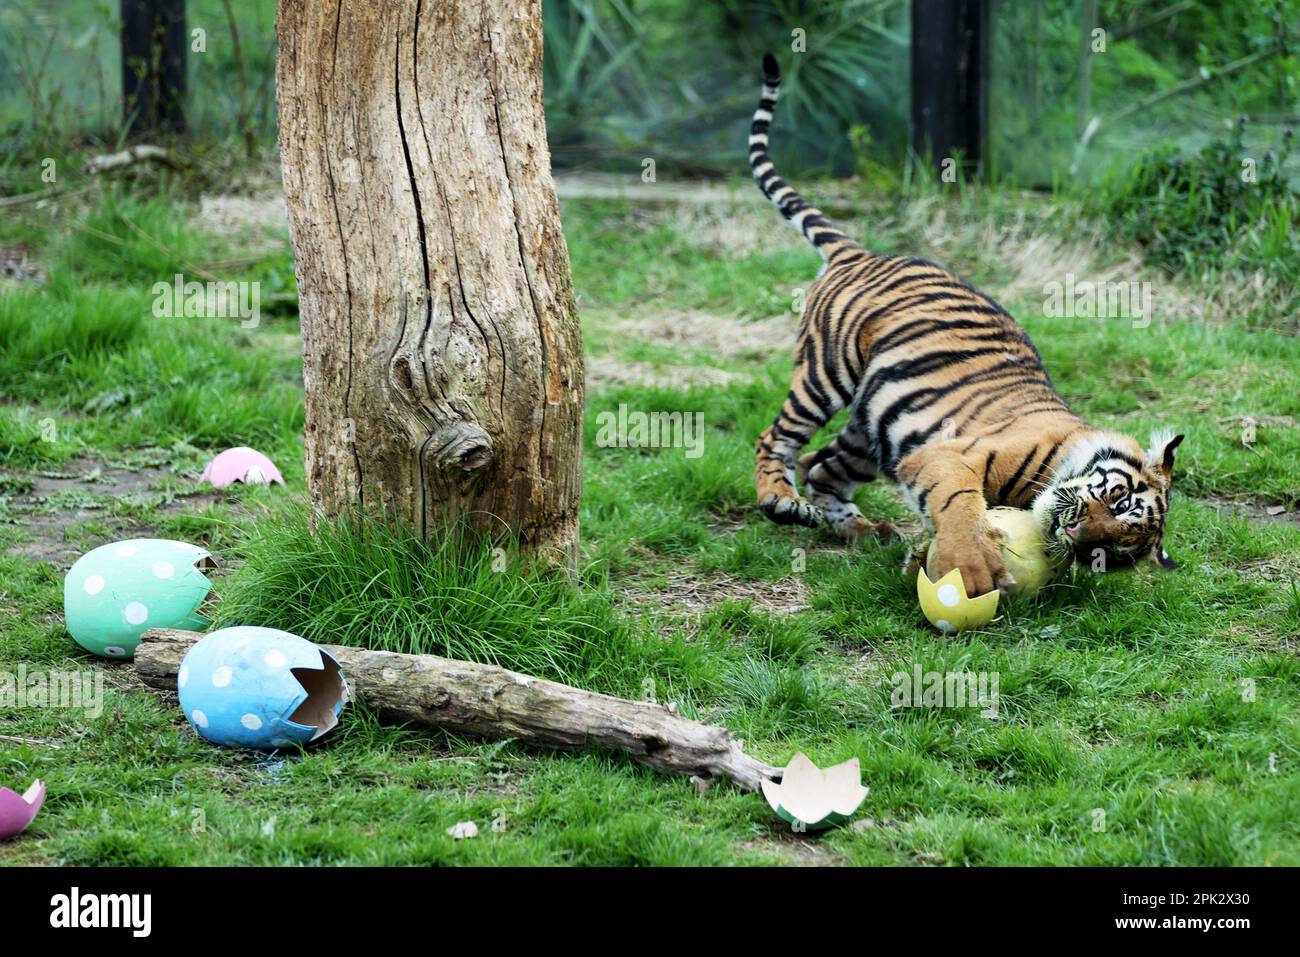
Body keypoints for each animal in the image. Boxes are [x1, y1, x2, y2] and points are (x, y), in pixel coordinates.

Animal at [749, 52, 1183, 598]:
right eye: (1121, 503)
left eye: (1107, 550)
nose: (1075, 532)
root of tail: (862, 252)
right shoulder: (947, 455)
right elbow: (958, 503)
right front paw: (969, 570)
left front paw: (920, 560)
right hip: (826, 374)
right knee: (776, 439)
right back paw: (781, 501)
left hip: (873, 430)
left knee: (824, 468)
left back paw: (863, 531)